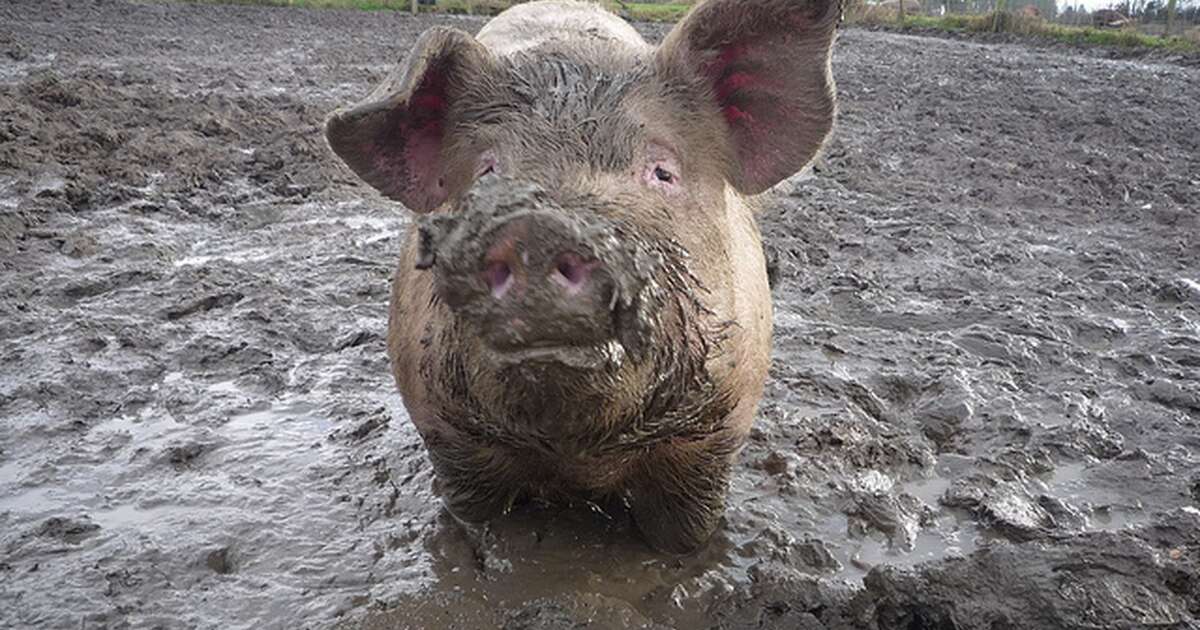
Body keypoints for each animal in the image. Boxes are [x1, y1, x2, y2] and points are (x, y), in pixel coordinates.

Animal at [324, 0, 840, 553]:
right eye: (486, 171)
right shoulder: (448, 437)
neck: (578, 454)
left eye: (662, 171)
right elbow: (473, 512)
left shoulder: (713, 440)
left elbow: (685, 536)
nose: (539, 228)